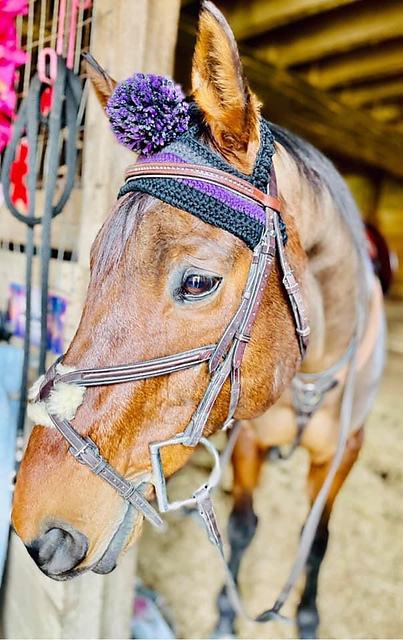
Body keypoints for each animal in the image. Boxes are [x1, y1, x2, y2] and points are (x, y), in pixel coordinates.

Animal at [12, 2, 385, 638]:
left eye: (197, 282)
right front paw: (226, 616)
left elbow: (316, 539)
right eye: (94, 261)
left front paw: (307, 616)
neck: (311, 375)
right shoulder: (250, 437)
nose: (37, 531)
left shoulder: (344, 454)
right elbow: (242, 526)